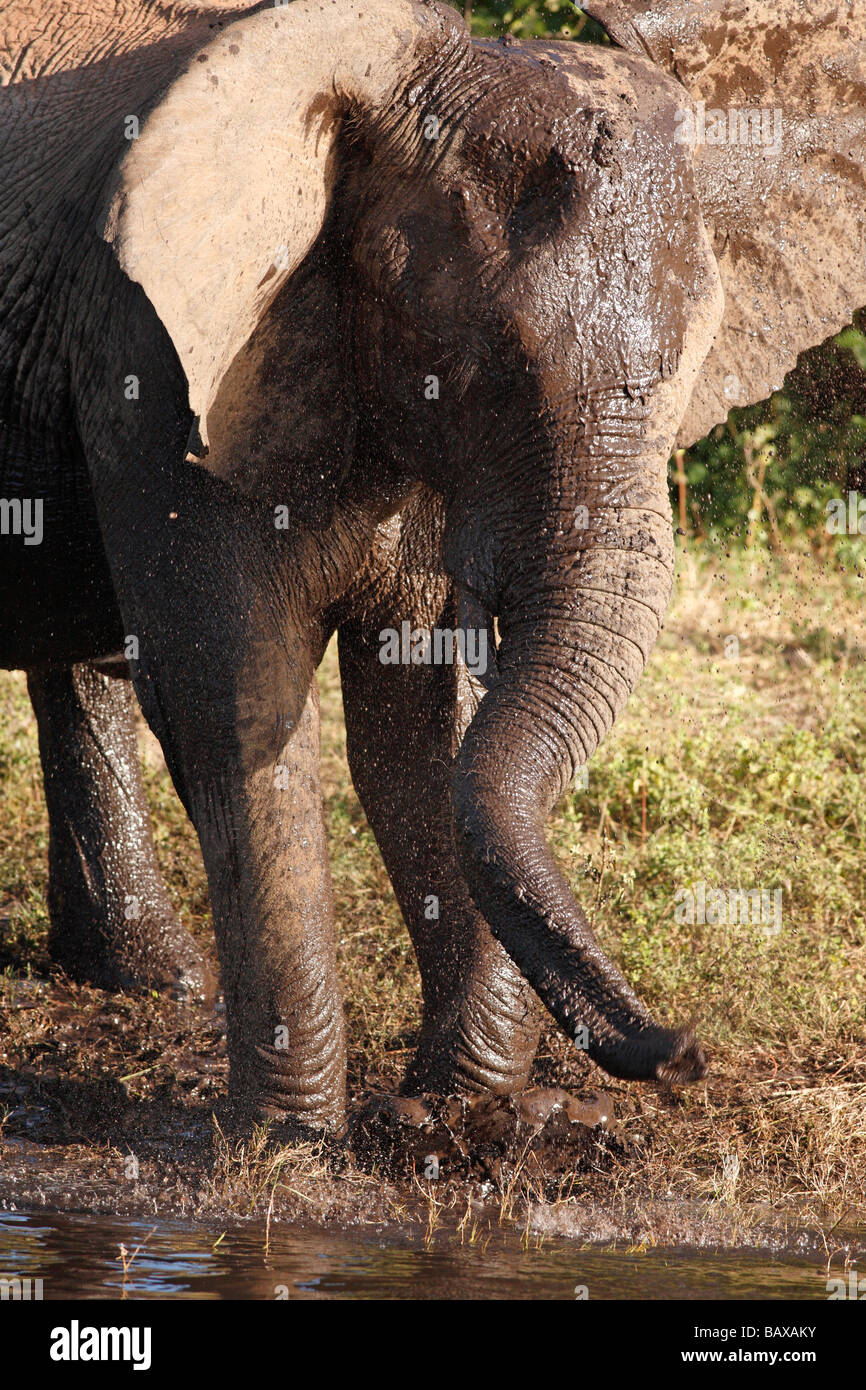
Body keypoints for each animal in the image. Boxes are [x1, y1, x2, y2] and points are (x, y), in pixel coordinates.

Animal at [1, 0, 864, 1131]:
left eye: (693, 362)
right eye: (481, 360)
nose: (683, 1055)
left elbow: (421, 733)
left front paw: (464, 1115)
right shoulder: (151, 364)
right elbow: (237, 703)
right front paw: (294, 1141)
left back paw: (154, 980)